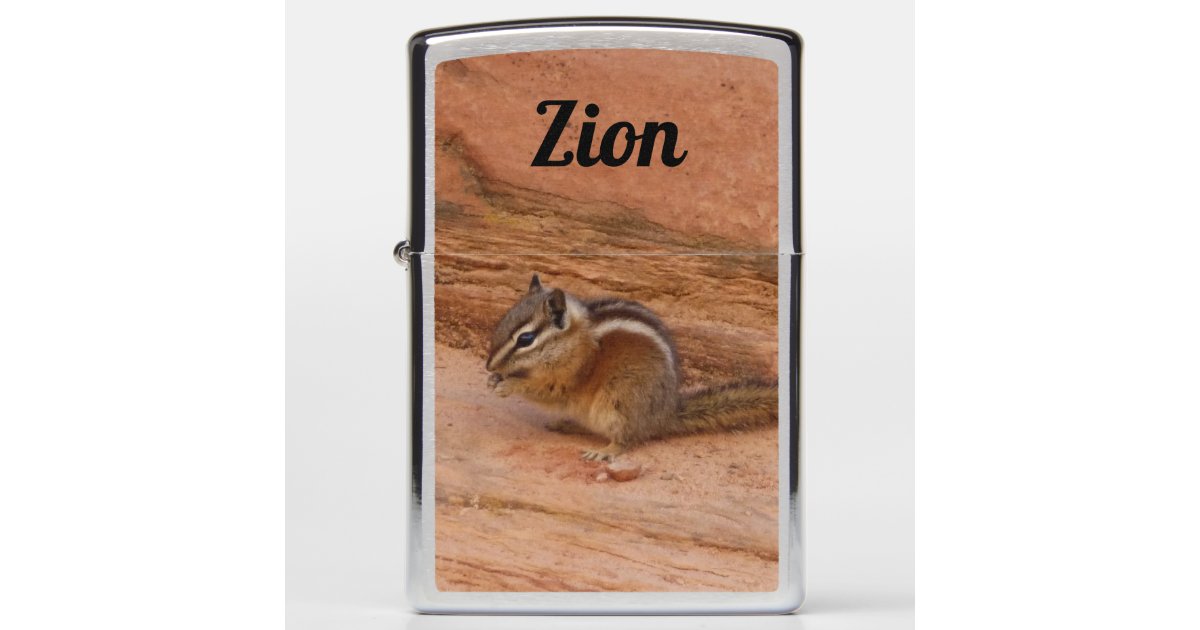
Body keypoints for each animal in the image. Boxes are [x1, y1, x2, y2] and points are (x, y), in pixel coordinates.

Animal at [485, 274, 777, 462]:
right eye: (503, 320)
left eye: (526, 339)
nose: (488, 365)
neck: (573, 340)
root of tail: (664, 415)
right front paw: (494, 379)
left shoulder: (572, 377)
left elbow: (547, 391)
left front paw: (509, 384)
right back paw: (567, 424)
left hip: (619, 400)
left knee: (627, 439)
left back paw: (605, 451)